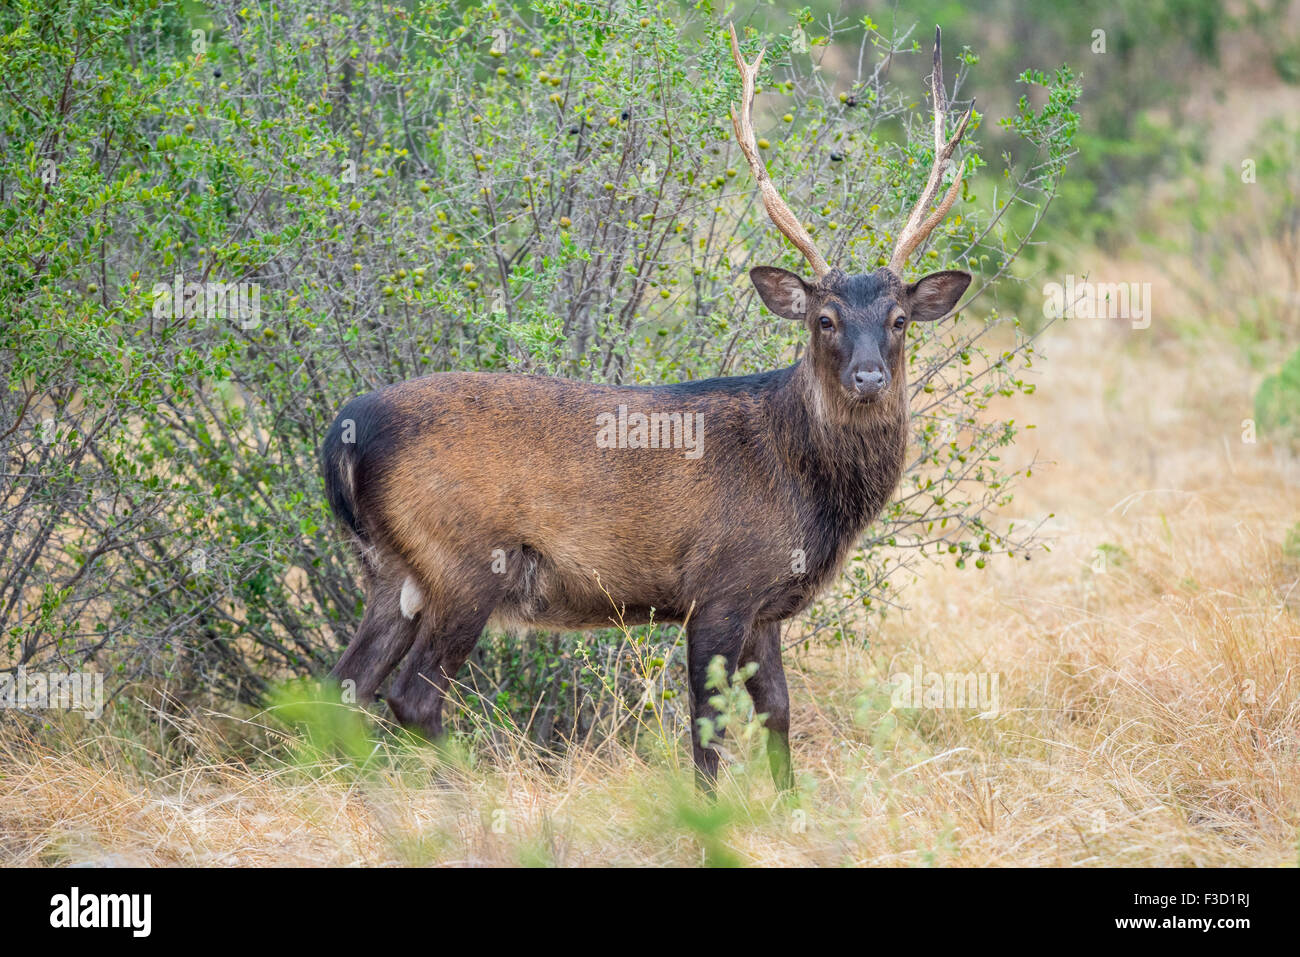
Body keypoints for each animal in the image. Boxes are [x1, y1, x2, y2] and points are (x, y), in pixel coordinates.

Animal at [321, 25, 974, 790]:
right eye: (825, 319)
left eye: (900, 319)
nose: (869, 376)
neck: (801, 486)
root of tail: (344, 435)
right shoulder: (718, 585)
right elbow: (707, 722)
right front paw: (709, 804)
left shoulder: (766, 605)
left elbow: (779, 710)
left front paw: (791, 801)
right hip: (465, 558)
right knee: (413, 694)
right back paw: (467, 793)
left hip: (390, 570)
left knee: (340, 685)